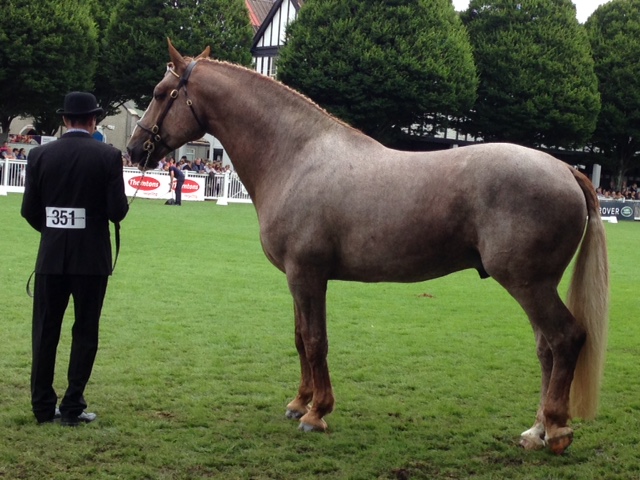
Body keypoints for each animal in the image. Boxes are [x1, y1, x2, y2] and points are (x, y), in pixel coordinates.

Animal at [127, 40, 609, 455]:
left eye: (160, 93)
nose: (135, 149)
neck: (297, 156)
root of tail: (564, 167)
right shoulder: (297, 278)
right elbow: (300, 338)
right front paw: (299, 403)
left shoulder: (308, 274)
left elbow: (316, 341)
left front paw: (317, 413)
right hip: (535, 285)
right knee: (546, 349)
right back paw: (536, 430)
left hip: (529, 284)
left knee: (565, 339)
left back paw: (557, 429)